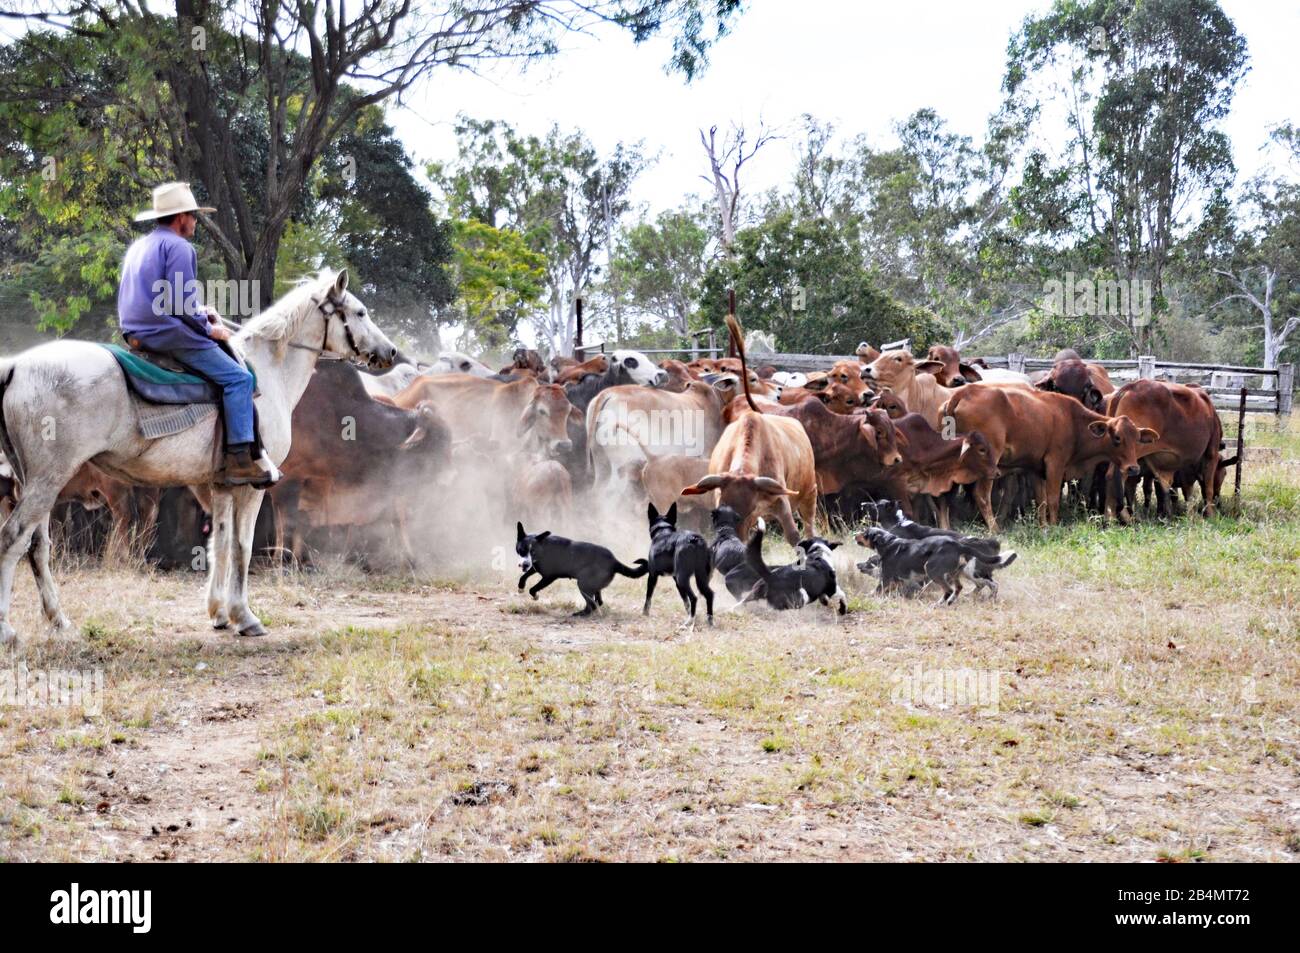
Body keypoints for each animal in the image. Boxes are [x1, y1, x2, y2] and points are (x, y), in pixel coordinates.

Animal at [942, 385, 1159, 530]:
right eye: (1117, 438)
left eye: (1137, 439)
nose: (1133, 468)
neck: (1073, 421)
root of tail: (964, 391)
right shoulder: (1055, 463)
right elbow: (1053, 498)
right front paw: (1053, 526)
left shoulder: (1036, 469)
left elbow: (1041, 500)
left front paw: (1044, 526)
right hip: (989, 464)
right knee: (981, 495)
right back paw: (995, 529)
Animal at [1106, 380, 1221, 519]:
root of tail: (1131, 387)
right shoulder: (1211, 452)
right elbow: (1206, 487)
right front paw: (1209, 514)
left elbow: (1168, 489)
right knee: (1118, 477)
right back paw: (1123, 517)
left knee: (1111, 476)